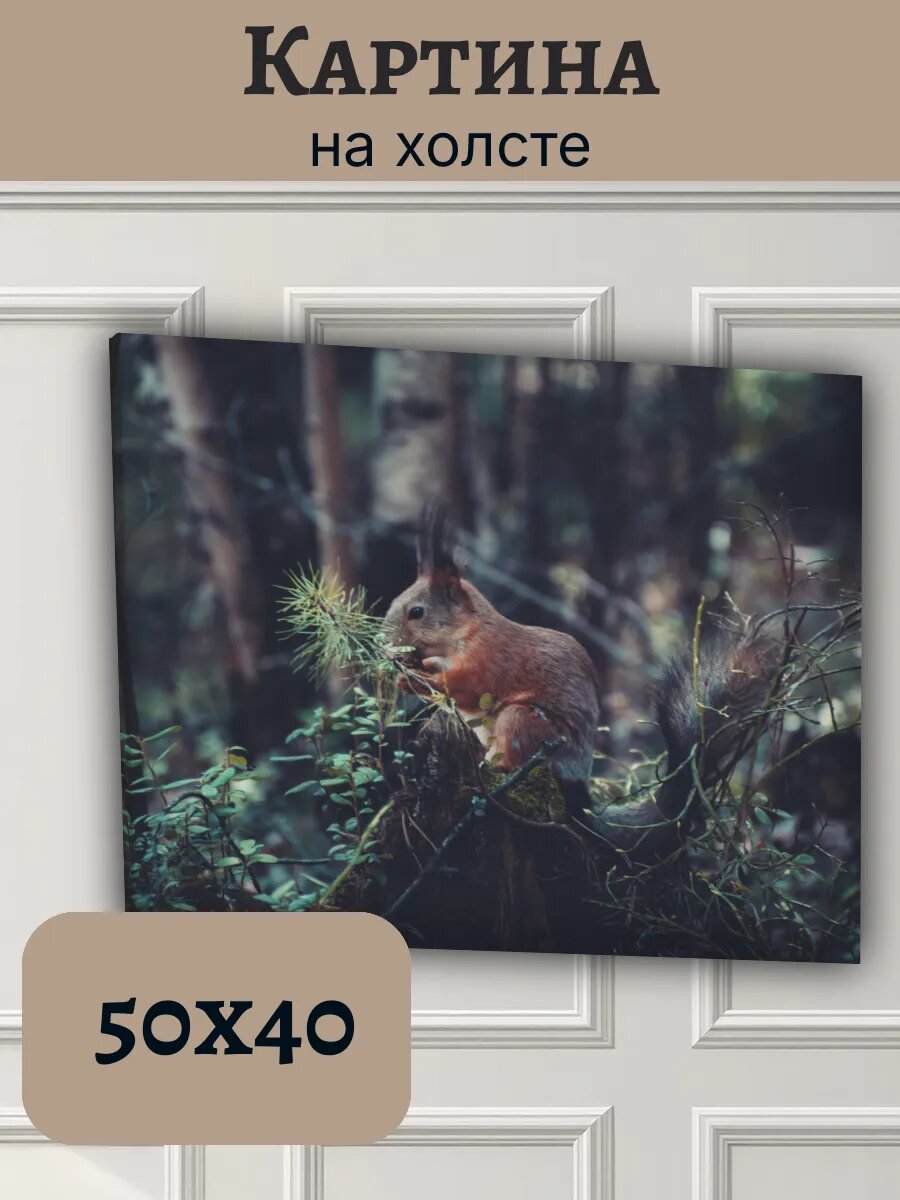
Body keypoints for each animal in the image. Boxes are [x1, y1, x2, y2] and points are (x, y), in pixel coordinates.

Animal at [384, 504, 776, 858]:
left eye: (417, 612)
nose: (385, 641)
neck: (466, 632)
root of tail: (578, 789)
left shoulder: (491, 659)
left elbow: (466, 686)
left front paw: (414, 678)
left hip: (526, 723)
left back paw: (496, 770)